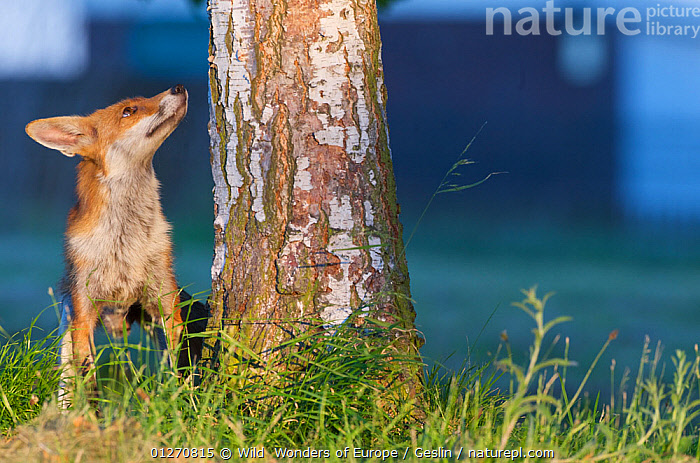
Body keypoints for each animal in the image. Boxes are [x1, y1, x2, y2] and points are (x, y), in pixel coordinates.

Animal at [26, 85, 206, 406]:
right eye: (128, 111)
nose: (179, 87)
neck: (125, 242)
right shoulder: (84, 312)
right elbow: (90, 382)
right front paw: (91, 415)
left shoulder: (165, 300)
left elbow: (179, 367)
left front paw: (184, 406)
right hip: (68, 323)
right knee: (68, 381)